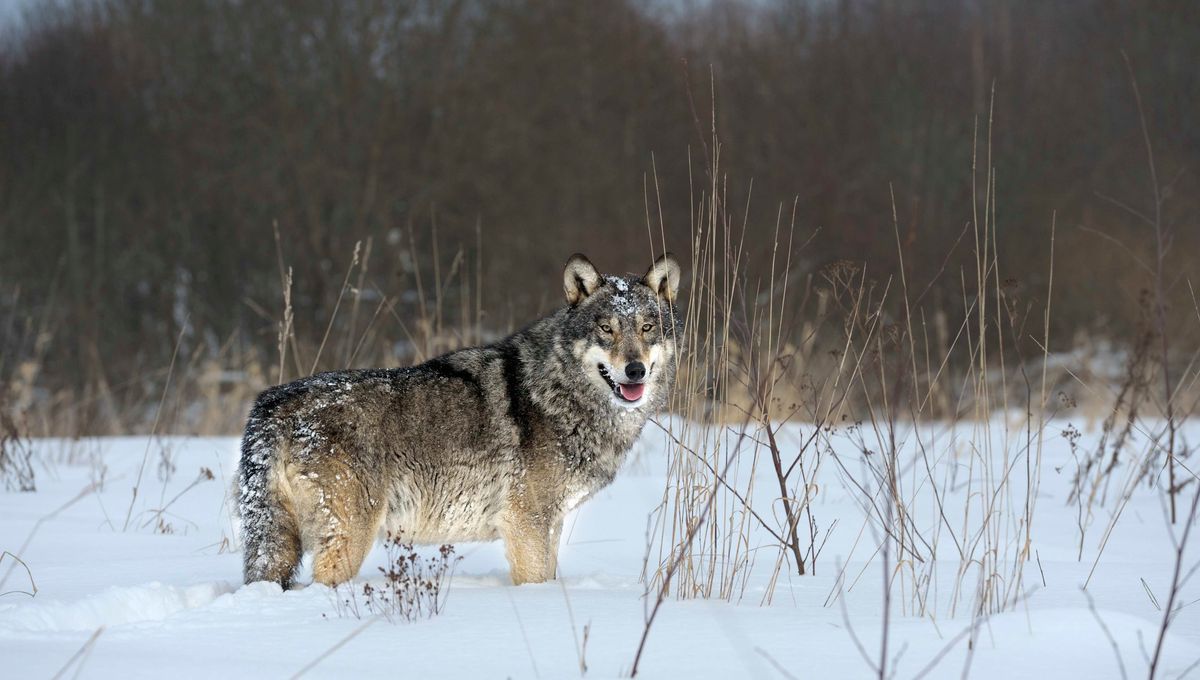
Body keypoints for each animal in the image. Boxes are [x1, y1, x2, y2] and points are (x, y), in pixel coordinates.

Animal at [237, 253, 682, 588]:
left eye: (647, 328)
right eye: (606, 329)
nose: (635, 370)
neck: (557, 390)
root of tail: (271, 403)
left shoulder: (550, 524)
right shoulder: (528, 524)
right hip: (349, 539)